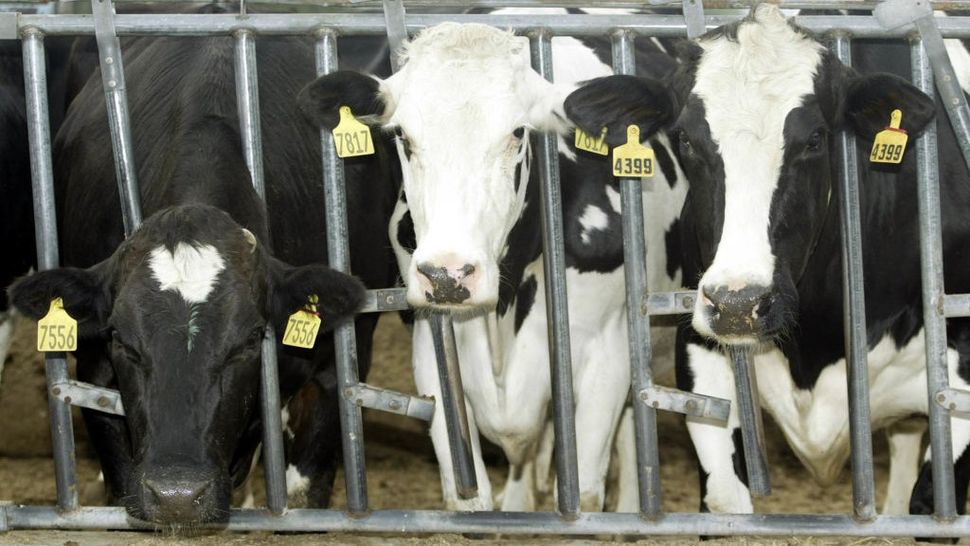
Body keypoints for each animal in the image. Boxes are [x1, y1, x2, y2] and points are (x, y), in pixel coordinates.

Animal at [8, 16, 399, 524]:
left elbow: (303, 493)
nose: (177, 493)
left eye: (250, 340)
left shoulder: (337, 365)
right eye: (121, 340)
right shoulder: (95, 371)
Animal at [299, 21, 687, 512]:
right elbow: (470, 497)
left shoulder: (607, 349)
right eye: (403, 135)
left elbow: (584, 491)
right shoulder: (432, 347)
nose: (447, 274)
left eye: (519, 132)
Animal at [565, 4, 970, 517]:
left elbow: (933, 498)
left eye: (815, 138)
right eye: (686, 139)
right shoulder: (701, 352)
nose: (739, 304)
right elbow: (724, 501)